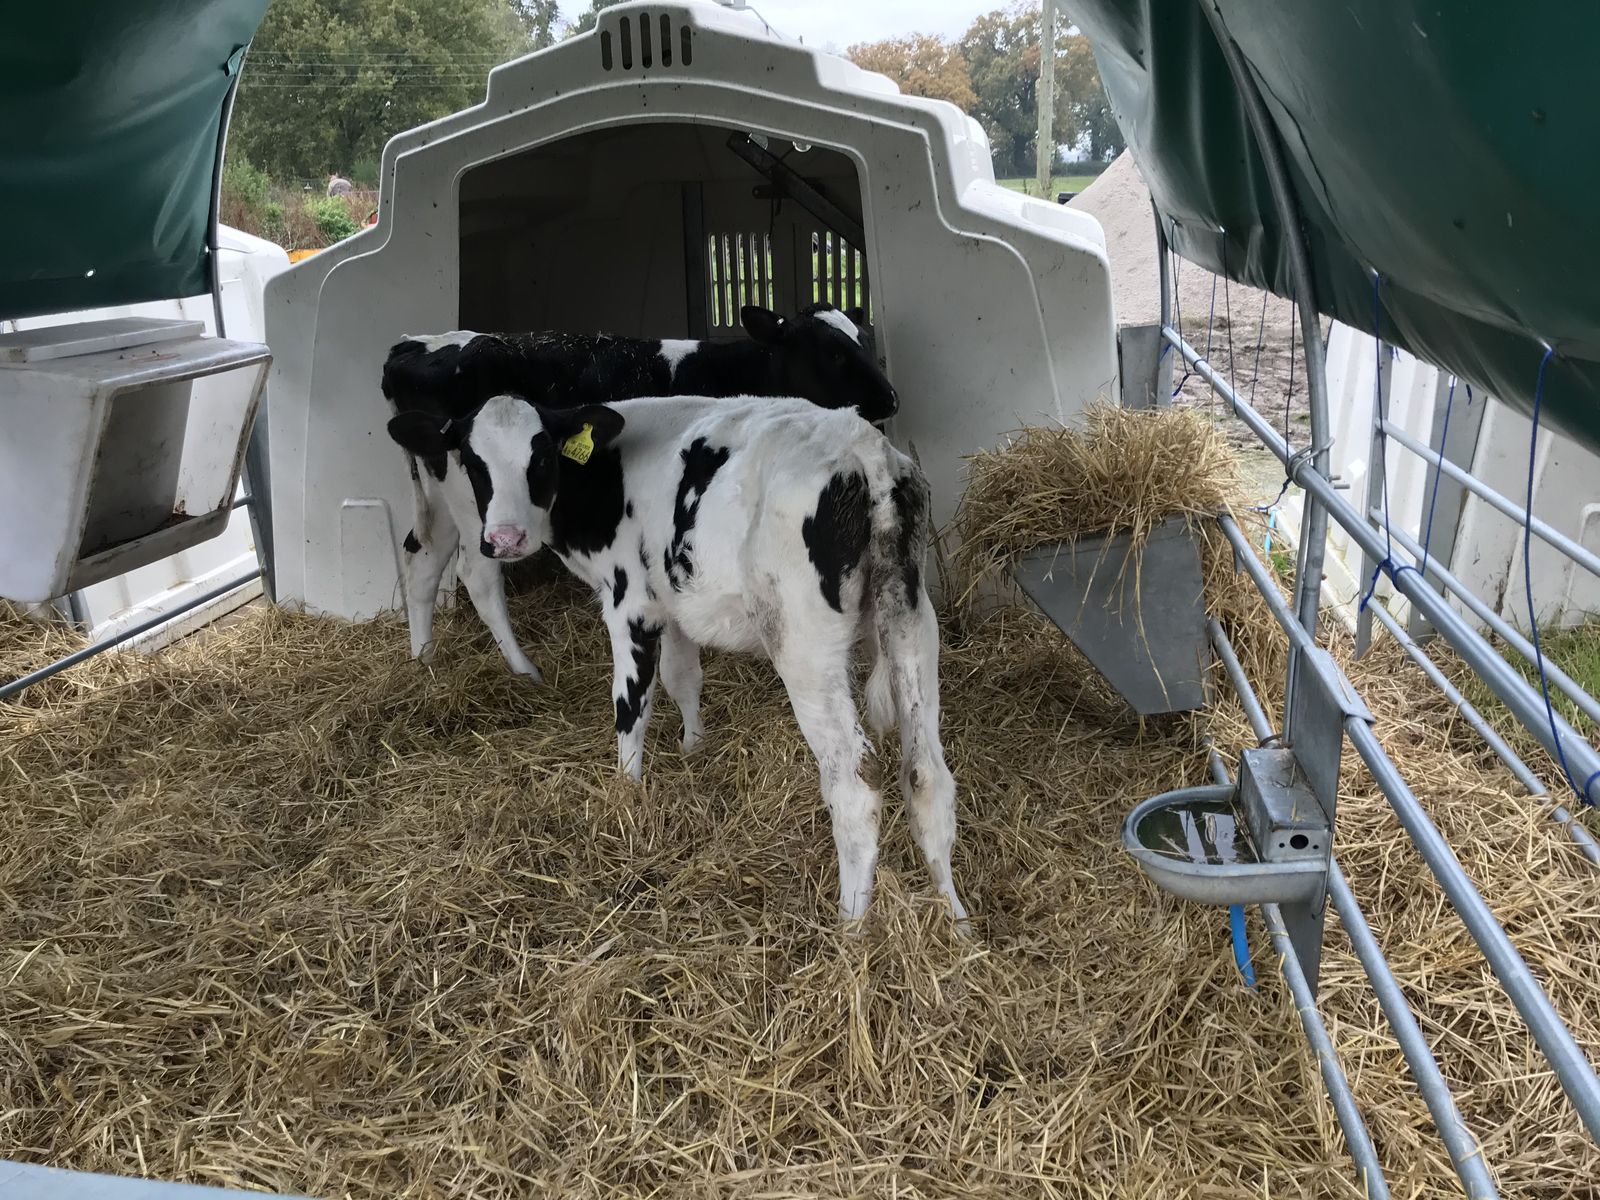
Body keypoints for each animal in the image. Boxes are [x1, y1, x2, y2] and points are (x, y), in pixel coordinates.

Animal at [382, 303, 897, 678]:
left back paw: (423, 660)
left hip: (442, 495)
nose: (891, 399)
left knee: (422, 557)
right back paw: (525, 670)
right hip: (481, 502)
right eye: (832, 352)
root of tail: (415, 345)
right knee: (477, 573)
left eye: (865, 340)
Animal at [384, 392, 967, 923]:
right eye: (470, 459)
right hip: (910, 620)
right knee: (926, 775)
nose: (506, 538)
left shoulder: (630, 602)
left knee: (855, 781)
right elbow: (682, 676)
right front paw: (693, 748)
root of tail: (863, 447)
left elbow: (630, 706)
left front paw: (626, 796)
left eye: (542, 454)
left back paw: (852, 927)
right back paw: (954, 922)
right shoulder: (672, 598)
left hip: (804, 642)